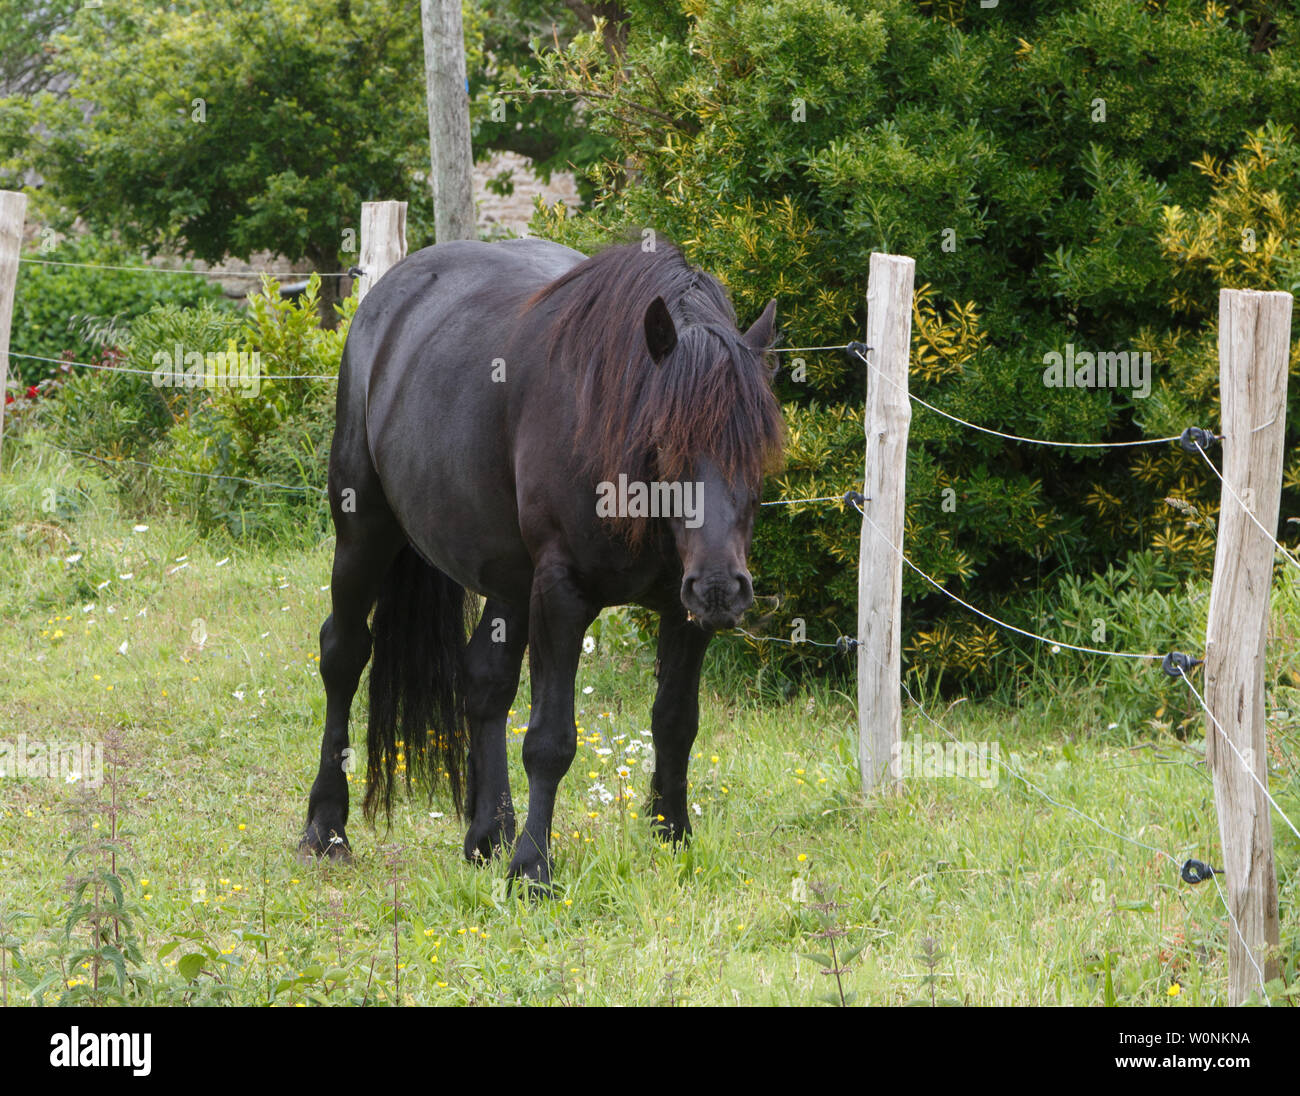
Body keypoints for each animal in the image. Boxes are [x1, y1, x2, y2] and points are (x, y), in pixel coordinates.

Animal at [298, 237, 785, 889]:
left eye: (757, 448)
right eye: (664, 444)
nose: (720, 589)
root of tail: (387, 296)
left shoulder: (680, 610)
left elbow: (676, 721)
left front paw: (673, 838)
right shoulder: (561, 593)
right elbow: (550, 740)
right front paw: (533, 870)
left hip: (508, 576)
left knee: (484, 682)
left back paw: (487, 835)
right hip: (364, 533)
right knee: (344, 654)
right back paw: (327, 827)